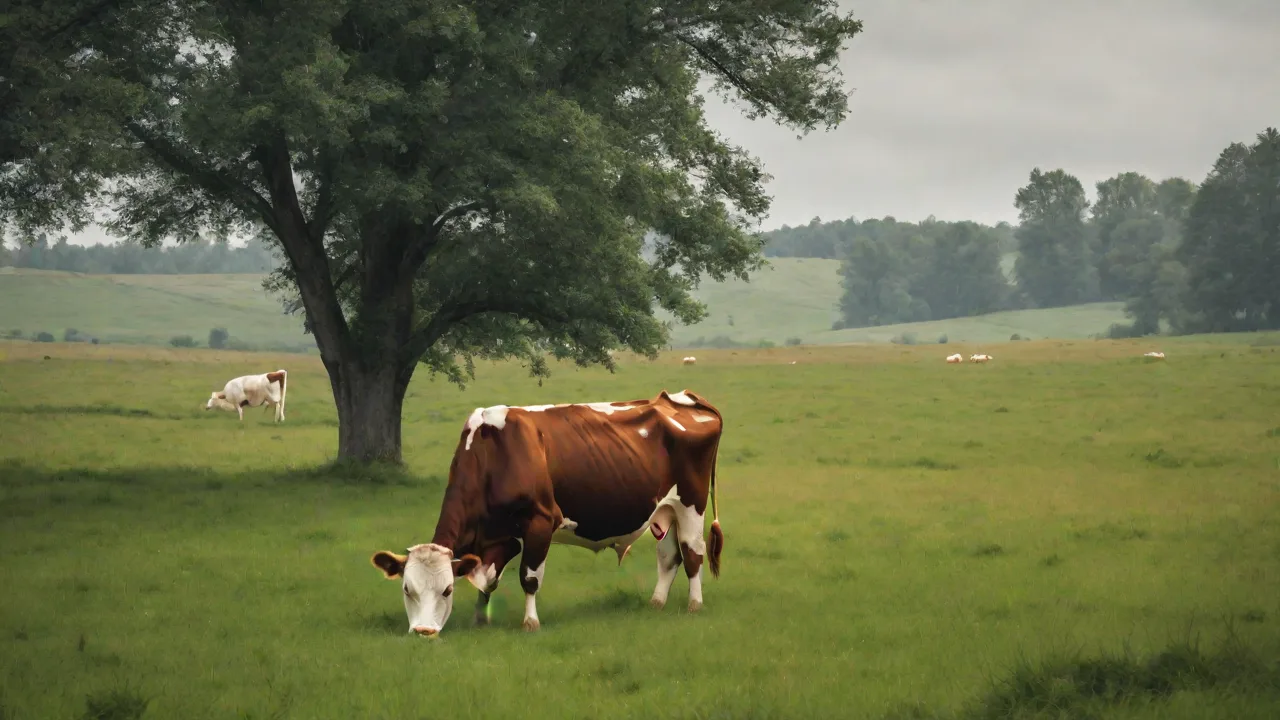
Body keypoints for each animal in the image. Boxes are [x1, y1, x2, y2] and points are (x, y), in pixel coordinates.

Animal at [370, 389, 724, 637]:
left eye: (447, 590)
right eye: (407, 589)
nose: (424, 631)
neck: (491, 452)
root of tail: (679, 398)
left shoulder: (539, 522)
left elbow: (529, 578)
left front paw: (530, 622)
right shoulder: (500, 537)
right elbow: (487, 580)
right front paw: (480, 619)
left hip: (691, 505)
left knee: (693, 555)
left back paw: (694, 604)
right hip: (665, 510)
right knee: (669, 557)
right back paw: (657, 602)